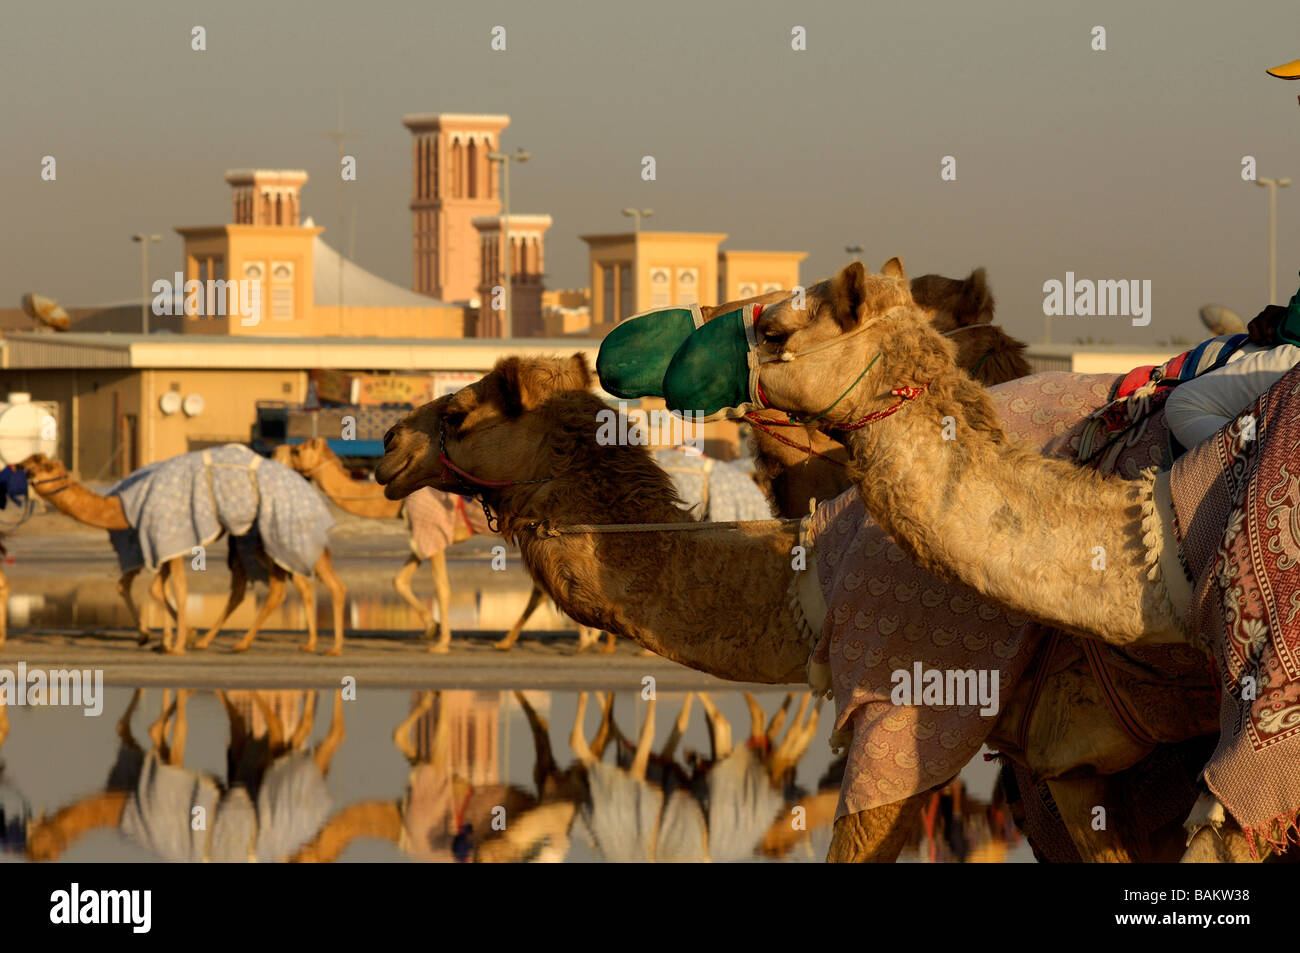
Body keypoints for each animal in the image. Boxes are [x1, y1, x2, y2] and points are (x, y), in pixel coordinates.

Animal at [19, 454, 346, 655]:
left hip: (274, 535)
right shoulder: (161, 545)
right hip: (261, 540)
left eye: (39, 467)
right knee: (282, 585)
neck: (123, 507)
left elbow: (176, 587)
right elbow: (156, 588)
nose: (22, 468)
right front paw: (172, 639)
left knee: (307, 585)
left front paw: (175, 644)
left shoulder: (168, 537)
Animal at [277, 438, 607, 654]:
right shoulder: (420, 534)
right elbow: (399, 580)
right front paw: (430, 628)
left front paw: (442, 642)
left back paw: (586, 640)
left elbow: (442, 588)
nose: (278, 451)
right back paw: (511, 641)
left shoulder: (432, 531)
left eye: (297, 450)